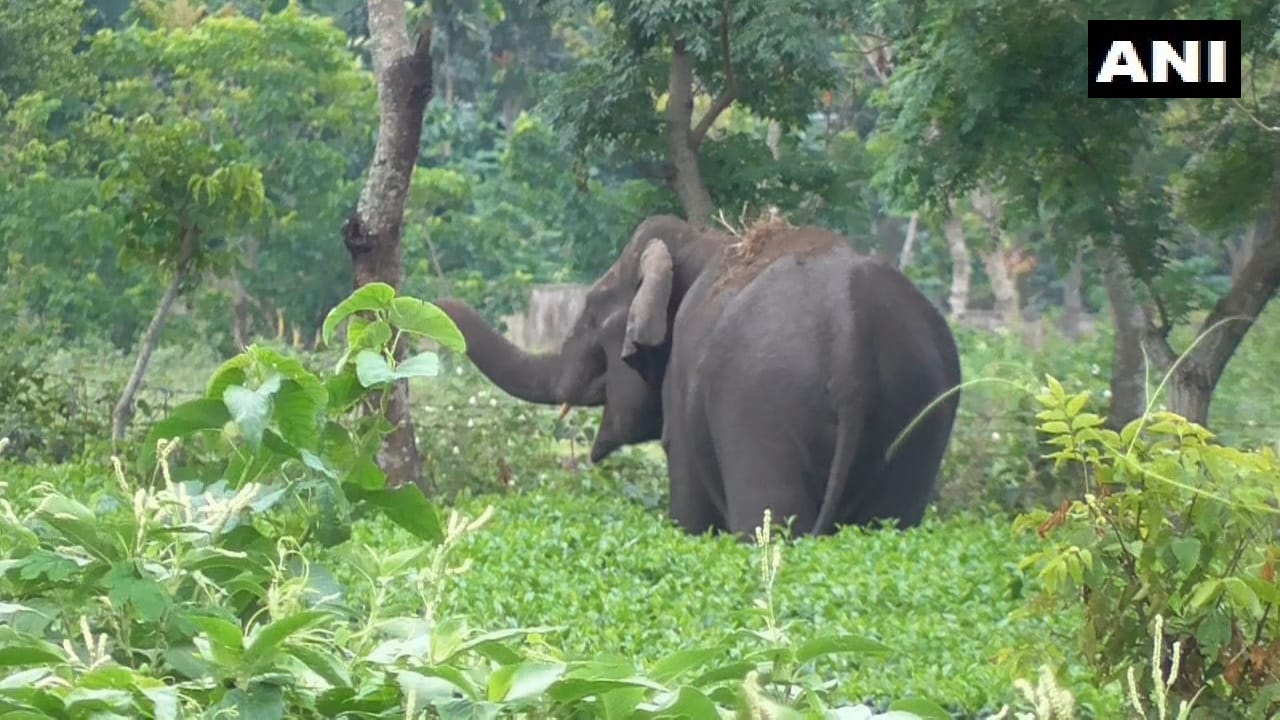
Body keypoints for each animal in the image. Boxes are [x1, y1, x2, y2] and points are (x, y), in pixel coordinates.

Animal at [432, 214, 962, 538]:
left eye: (591, 316)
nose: (436, 301)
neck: (706, 240)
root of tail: (854, 334)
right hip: (920, 413)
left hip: (763, 406)